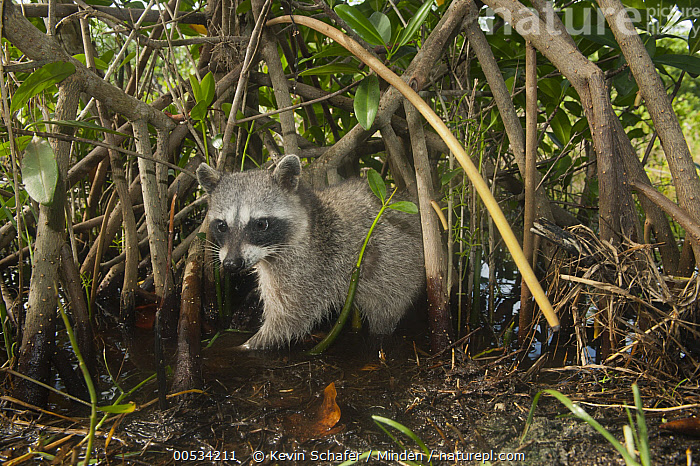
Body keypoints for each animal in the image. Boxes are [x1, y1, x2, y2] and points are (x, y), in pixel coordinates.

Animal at [197, 155, 425, 349]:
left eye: (261, 224)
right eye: (222, 226)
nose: (231, 264)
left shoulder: (308, 267)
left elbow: (290, 319)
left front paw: (245, 346)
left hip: (397, 266)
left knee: (386, 311)